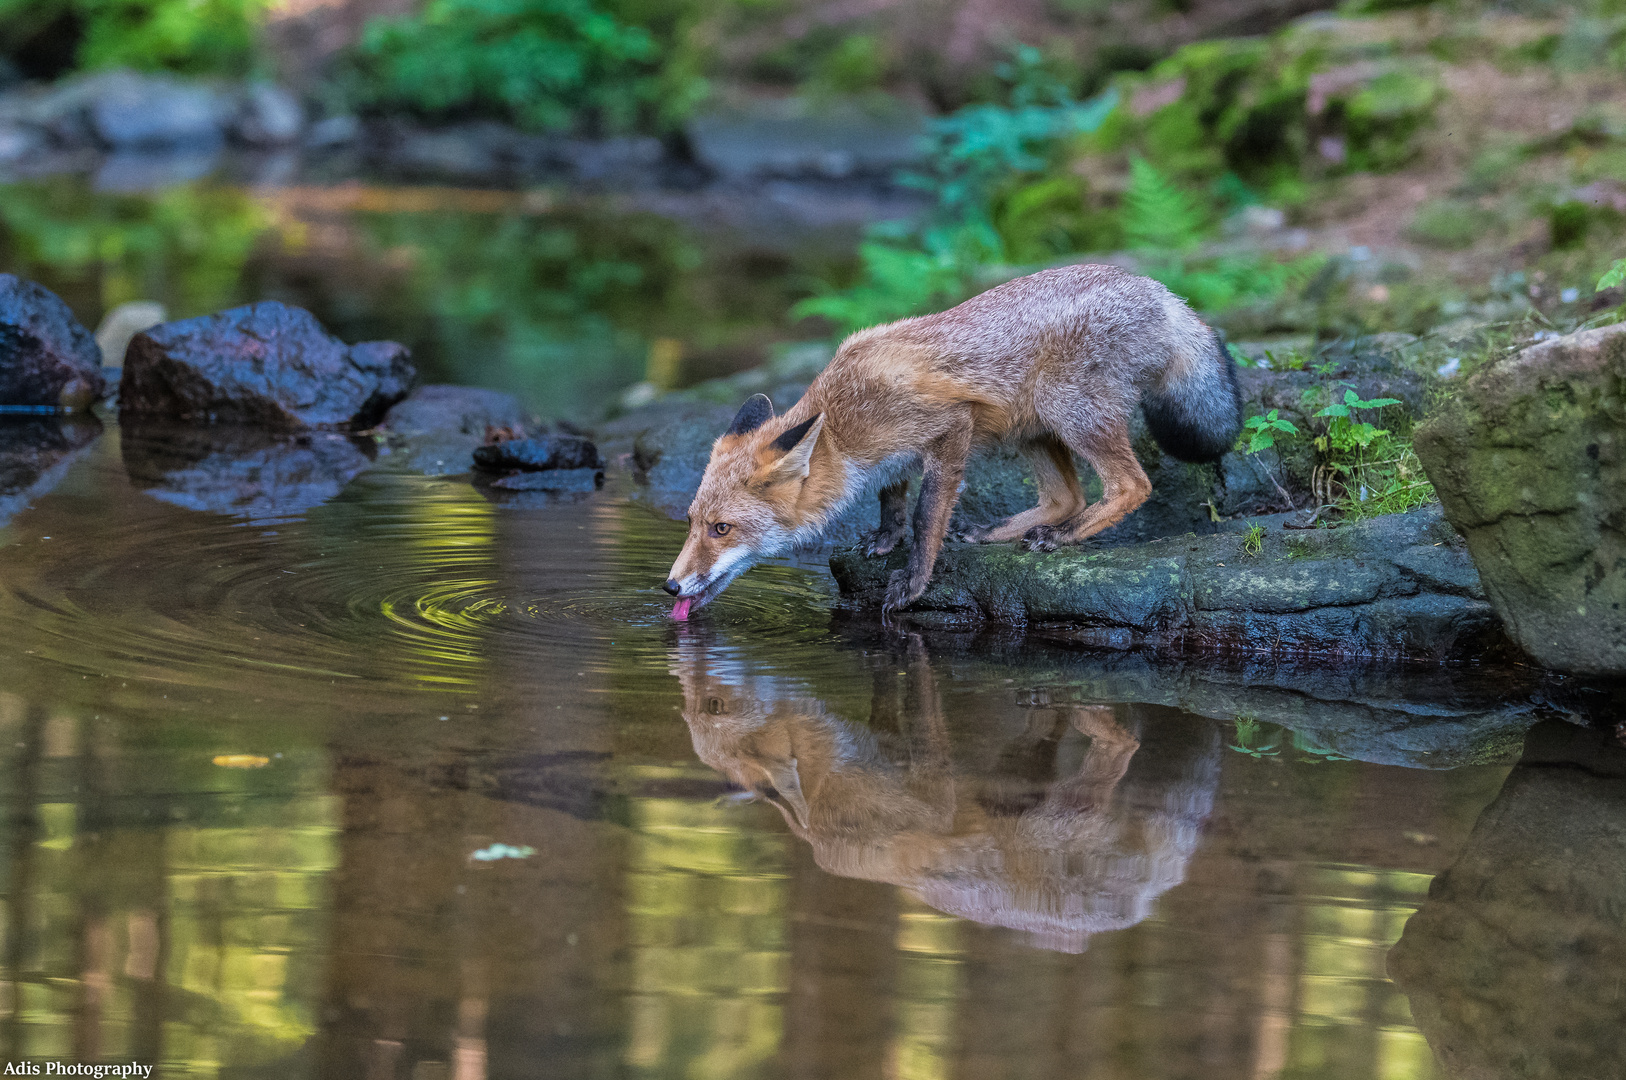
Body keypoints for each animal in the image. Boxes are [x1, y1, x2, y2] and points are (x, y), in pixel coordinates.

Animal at [663, 263, 1241, 618]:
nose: (669, 587)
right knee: (1066, 496)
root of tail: (1161, 292)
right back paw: (1000, 532)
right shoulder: (894, 454)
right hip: (1032, 426)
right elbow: (892, 499)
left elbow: (925, 515)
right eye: (690, 522)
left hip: (1065, 407)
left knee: (1129, 486)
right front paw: (885, 539)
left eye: (721, 529)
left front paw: (915, 580)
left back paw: (1063, 537)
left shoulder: (949, 425)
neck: (845, 422)